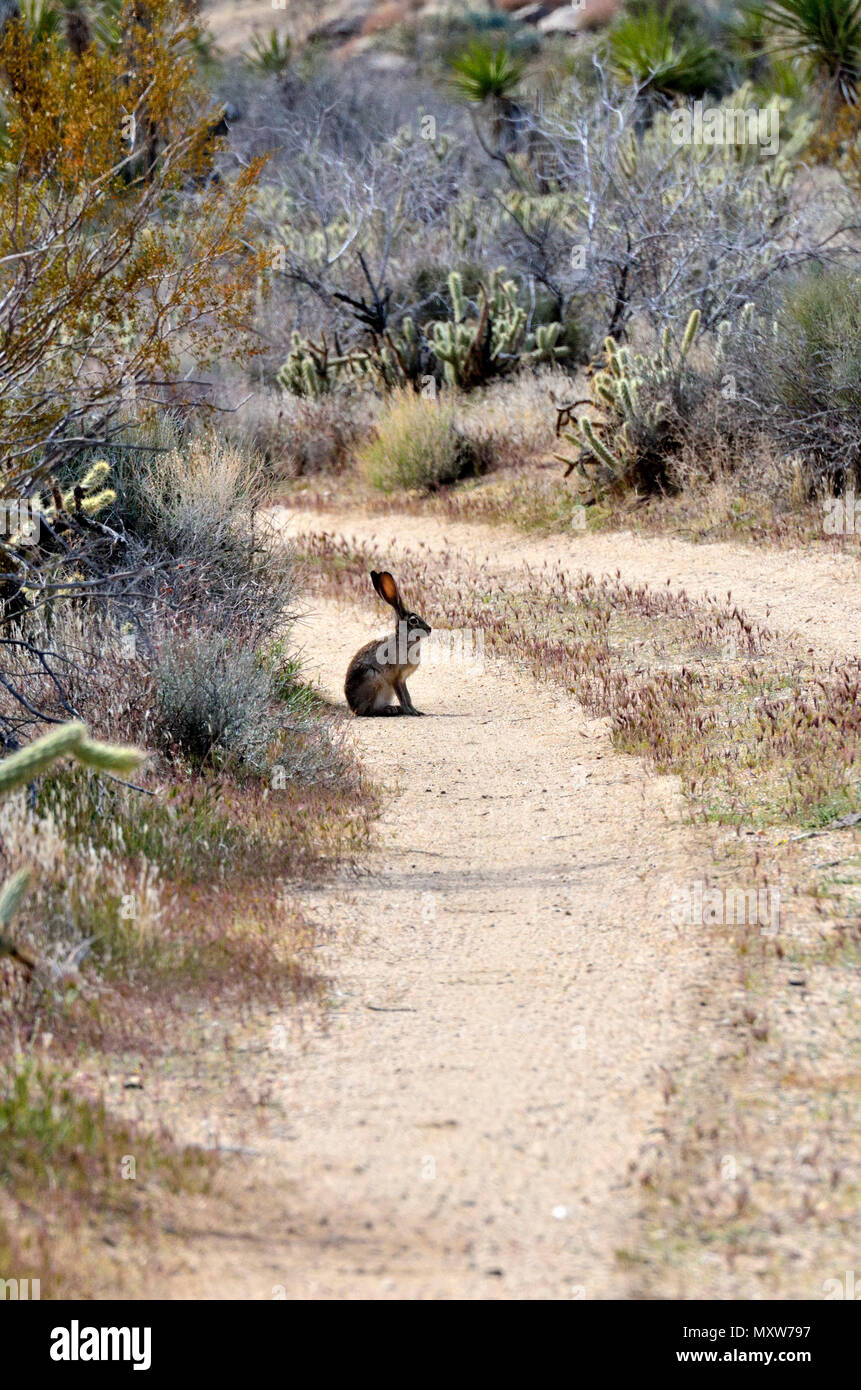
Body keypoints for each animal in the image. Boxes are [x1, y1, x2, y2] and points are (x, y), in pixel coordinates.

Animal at [345, 571, 431, 716]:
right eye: (414, 621)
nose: (430, 629)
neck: (405, 640)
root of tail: (352, 707)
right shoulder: (396, 678)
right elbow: (402, 696)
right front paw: (410, 712)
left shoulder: (403, 679)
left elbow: (408, 696)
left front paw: (415, 711)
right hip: (372, 679)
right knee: (368, 710)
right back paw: (390, 710)